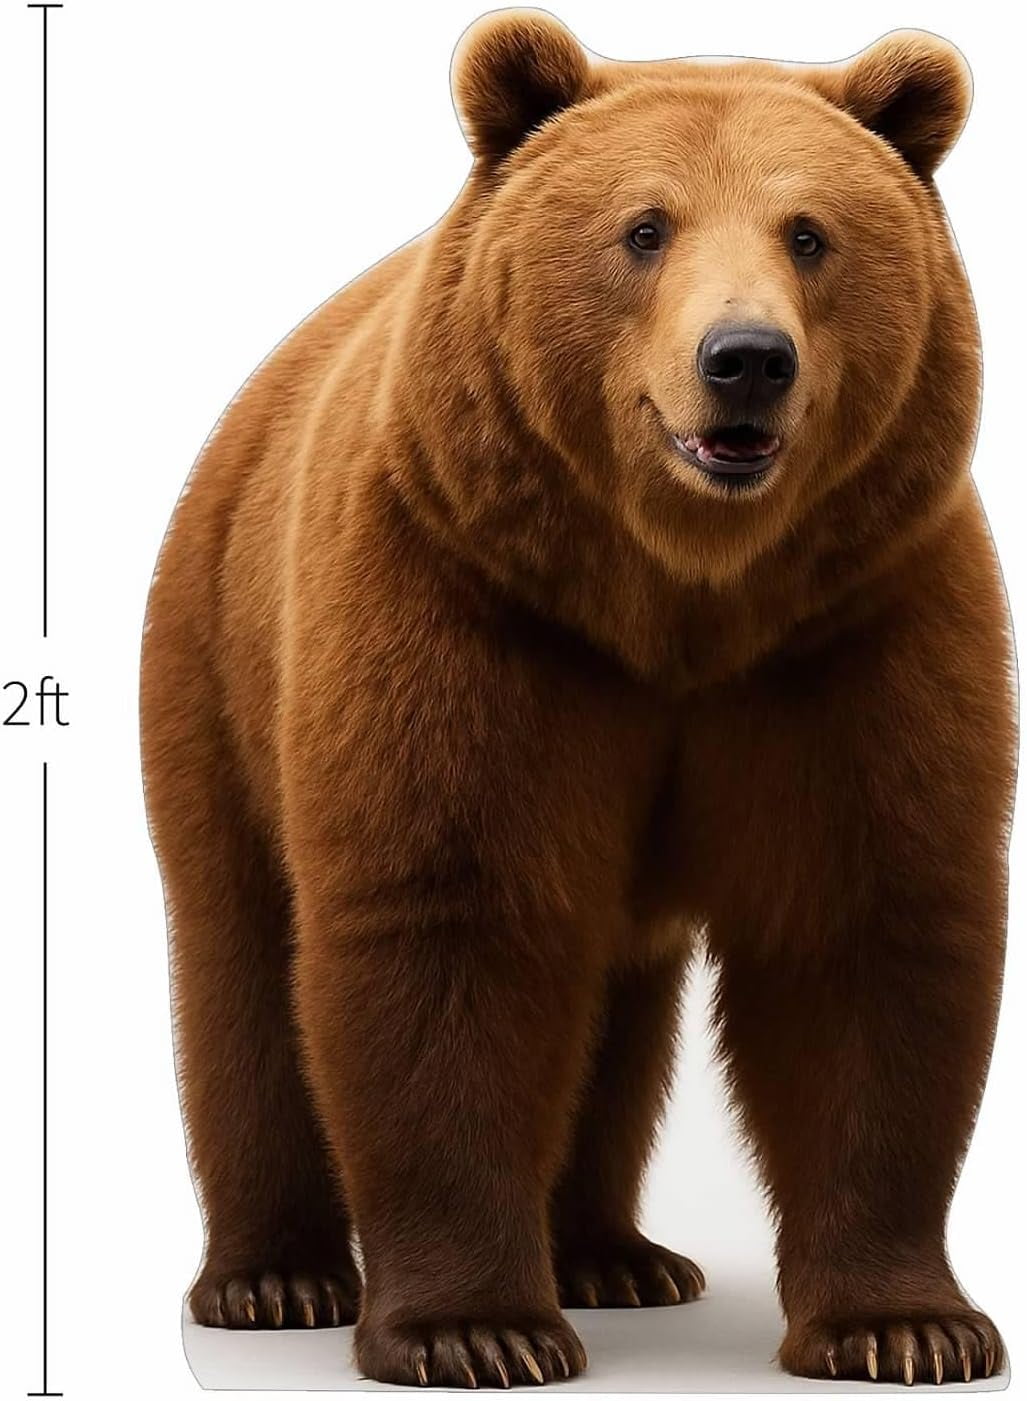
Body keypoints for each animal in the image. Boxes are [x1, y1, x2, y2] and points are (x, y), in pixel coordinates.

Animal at [140, 10, 1014, 1389]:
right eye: (643, 227)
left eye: (808, 232)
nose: (745, 361)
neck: (676, 597)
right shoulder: (465, 604)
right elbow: (451, 921)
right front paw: (474, 1328)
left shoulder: (858, 623)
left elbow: (866, 926)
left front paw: (907, 1324)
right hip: (219, 657)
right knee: (239, 958)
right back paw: (271, 1277)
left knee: (615, 1001)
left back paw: (614, 1254)